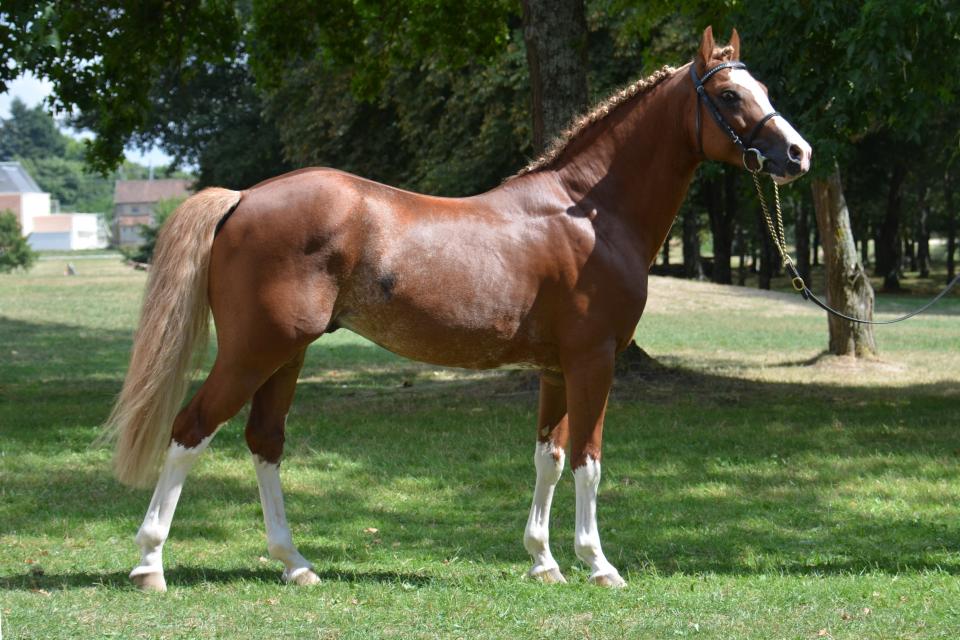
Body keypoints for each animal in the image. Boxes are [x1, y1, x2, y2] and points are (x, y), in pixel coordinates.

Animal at [103, 26, 811, 591]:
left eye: (761, 87)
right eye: (729, 96)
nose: (798, 154)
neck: (587, 214)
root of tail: (244, 197)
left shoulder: (555, 369)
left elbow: (549, 458)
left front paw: (543, 561)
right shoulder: (595, 362)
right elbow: (589, 459)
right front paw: (598, 564)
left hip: (287, 354)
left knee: (264, 441)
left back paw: (296, 564)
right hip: (255, 351)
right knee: (191, 429)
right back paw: (150, 564)